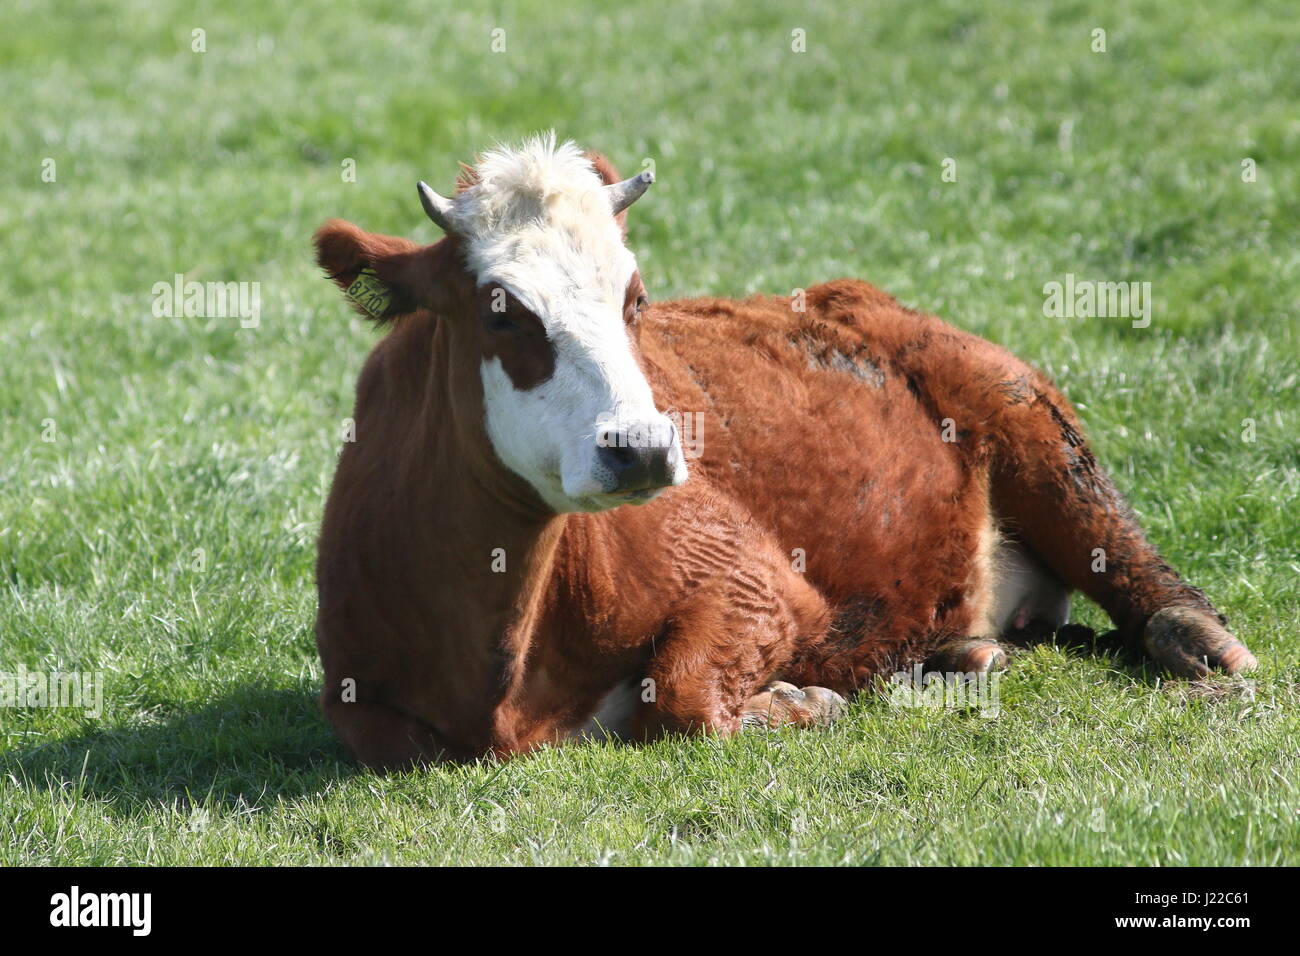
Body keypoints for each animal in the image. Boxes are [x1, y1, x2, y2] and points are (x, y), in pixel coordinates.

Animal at [312, 134, 1256, 771]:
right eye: (502, 309)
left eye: (635, 297)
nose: (641, 449)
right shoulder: (355, 690)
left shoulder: (757, 580)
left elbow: (683, 697)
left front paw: (797, 703)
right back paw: (957, 658)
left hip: (1021, 408)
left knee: (1121, 551)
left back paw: (1198, 642)